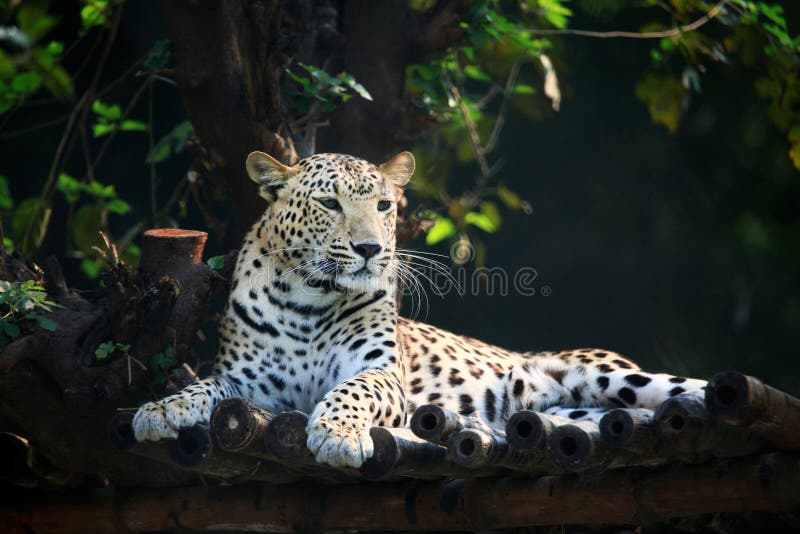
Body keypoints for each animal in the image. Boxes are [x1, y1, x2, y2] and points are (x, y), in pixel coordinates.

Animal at [132, 150, 707, 468]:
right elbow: (205, 387)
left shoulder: (383, 374)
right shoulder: (248, 382)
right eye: (330, 204)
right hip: (579, 412)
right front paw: (159, 410)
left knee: (687, 389)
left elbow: (351, 391)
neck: (308, 301)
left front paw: (337, 435)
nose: (370, 249)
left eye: (384, 206)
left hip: (618, 377)